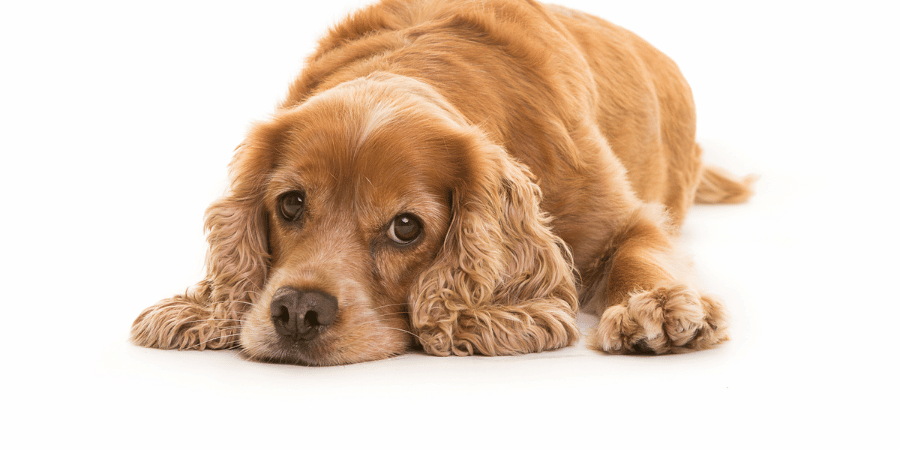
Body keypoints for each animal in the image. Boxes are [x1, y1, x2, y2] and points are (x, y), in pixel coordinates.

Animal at [132, 0, 753, 365]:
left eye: (406, 227)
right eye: (290, 204)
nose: (296, 312)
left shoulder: (624, 219)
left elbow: (640, 253)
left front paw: (660, 306)